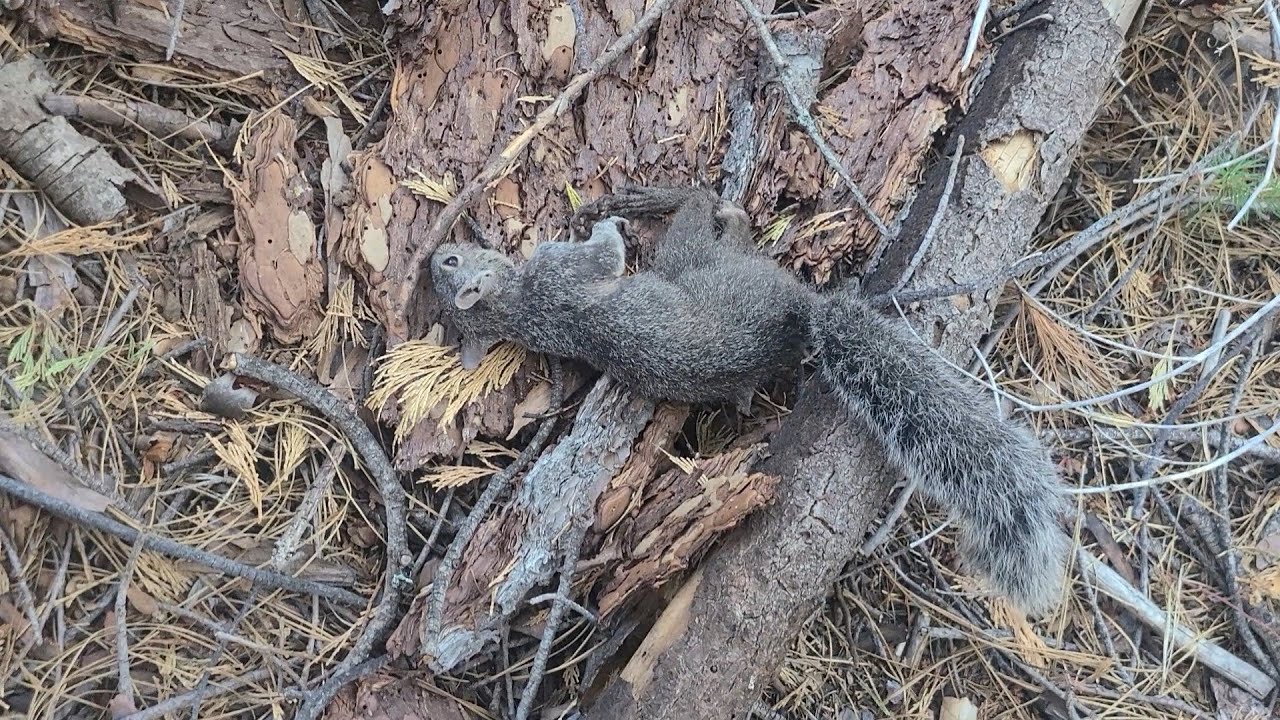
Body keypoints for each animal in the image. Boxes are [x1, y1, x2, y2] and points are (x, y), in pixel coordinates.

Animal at [429, 186, 1070, 616]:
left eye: (451, 263)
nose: (437, 253)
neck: (518, 308)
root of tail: (800, 315)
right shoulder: (565, 274)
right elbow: (606, 256)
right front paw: (608, 226)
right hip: (701, 263)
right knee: (707, 212)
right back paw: (680, 204)